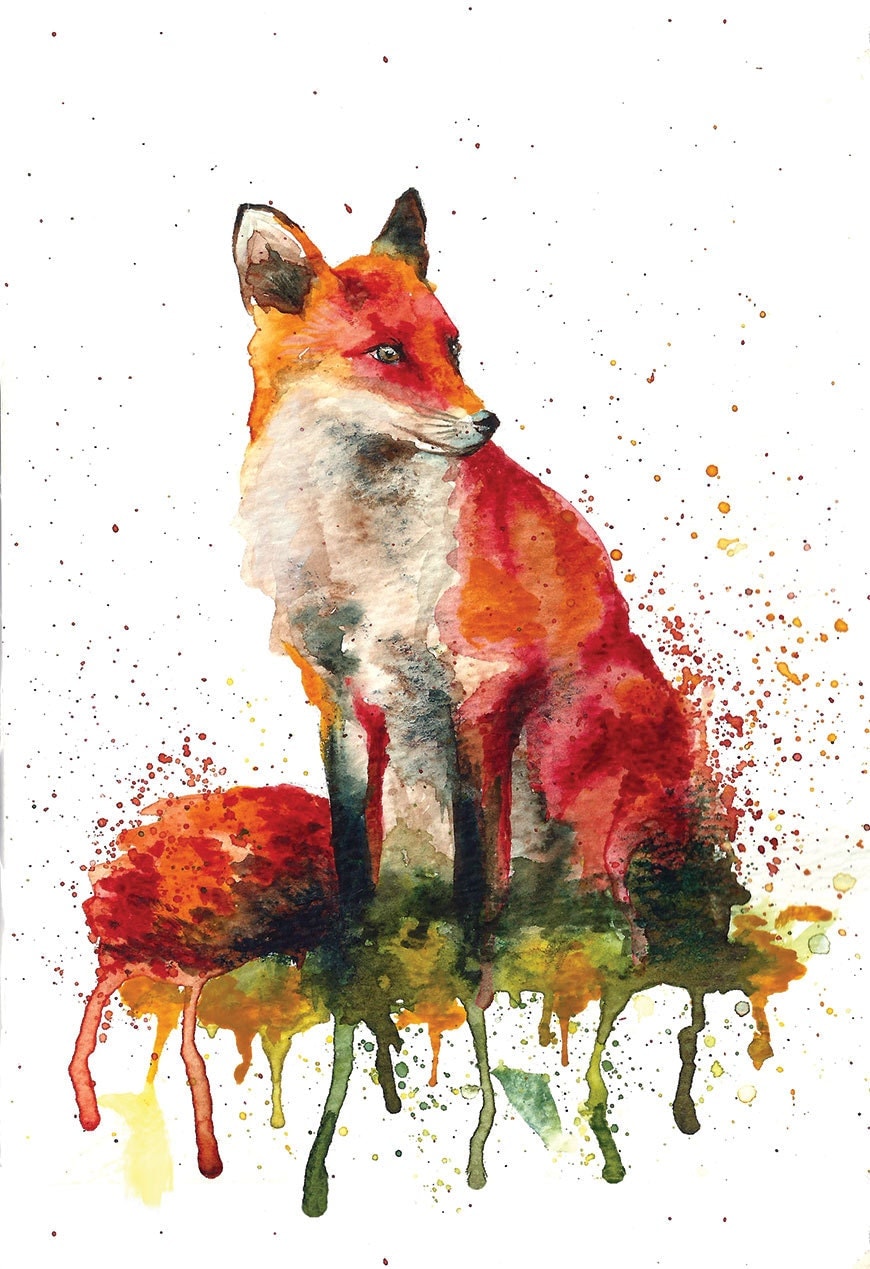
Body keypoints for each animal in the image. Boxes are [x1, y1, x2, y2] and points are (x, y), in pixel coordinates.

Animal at [232, 190, 729, 983]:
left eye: (454, 347)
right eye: (387, 353)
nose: (487, 421)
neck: (358, 557)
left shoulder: (481, 690)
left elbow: (477, 863)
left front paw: (473, 976)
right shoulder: (339, 697)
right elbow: (352, 852)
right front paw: (346, 961)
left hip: (566, 744)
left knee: (619, 898)